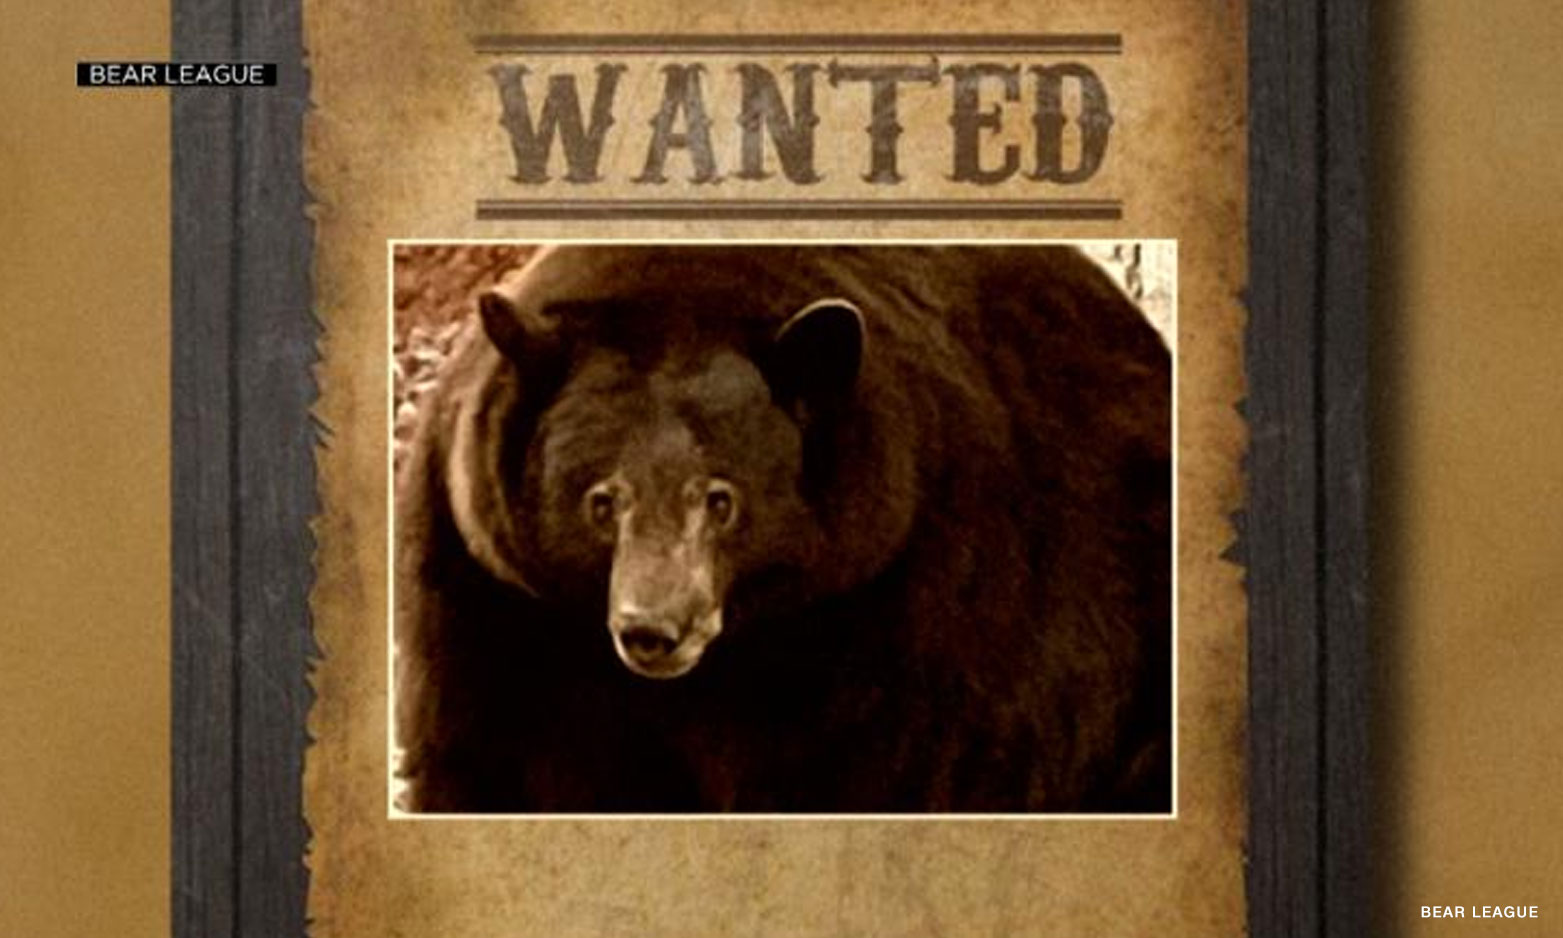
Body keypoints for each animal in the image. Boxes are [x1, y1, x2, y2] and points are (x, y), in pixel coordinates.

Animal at [394, 244, 1171, 813]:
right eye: (601, 501)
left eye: (721, 499)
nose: (653, 630)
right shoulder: (491, 595)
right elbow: (497, 758)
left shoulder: (917, 602)